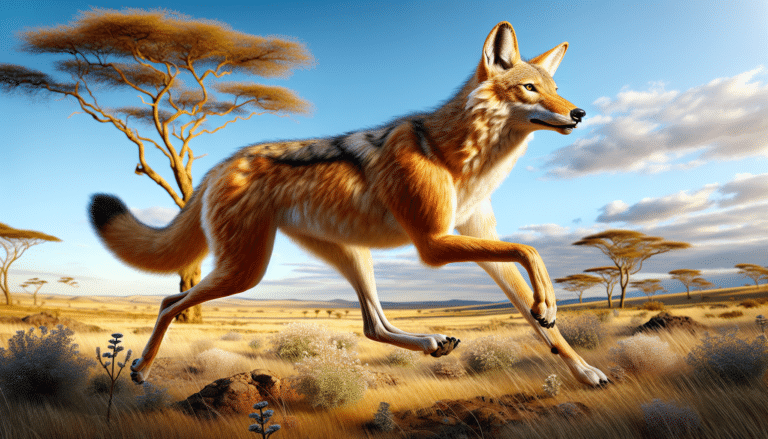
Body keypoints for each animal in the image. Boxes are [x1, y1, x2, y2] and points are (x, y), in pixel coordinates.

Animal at [90, 21, 608, 386]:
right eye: (530, 89)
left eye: (556, 88)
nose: (579, 113)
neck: (459, 159)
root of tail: (222, 163)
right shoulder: (433, 244)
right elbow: (532, 250)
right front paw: (548, 303)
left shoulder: (476, 240)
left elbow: (542, 320)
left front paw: (584, 370)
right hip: (246, 270)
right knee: (168, 300)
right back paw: (140, 369)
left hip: (348, 256)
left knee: (372, 326)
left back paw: (432, 342)